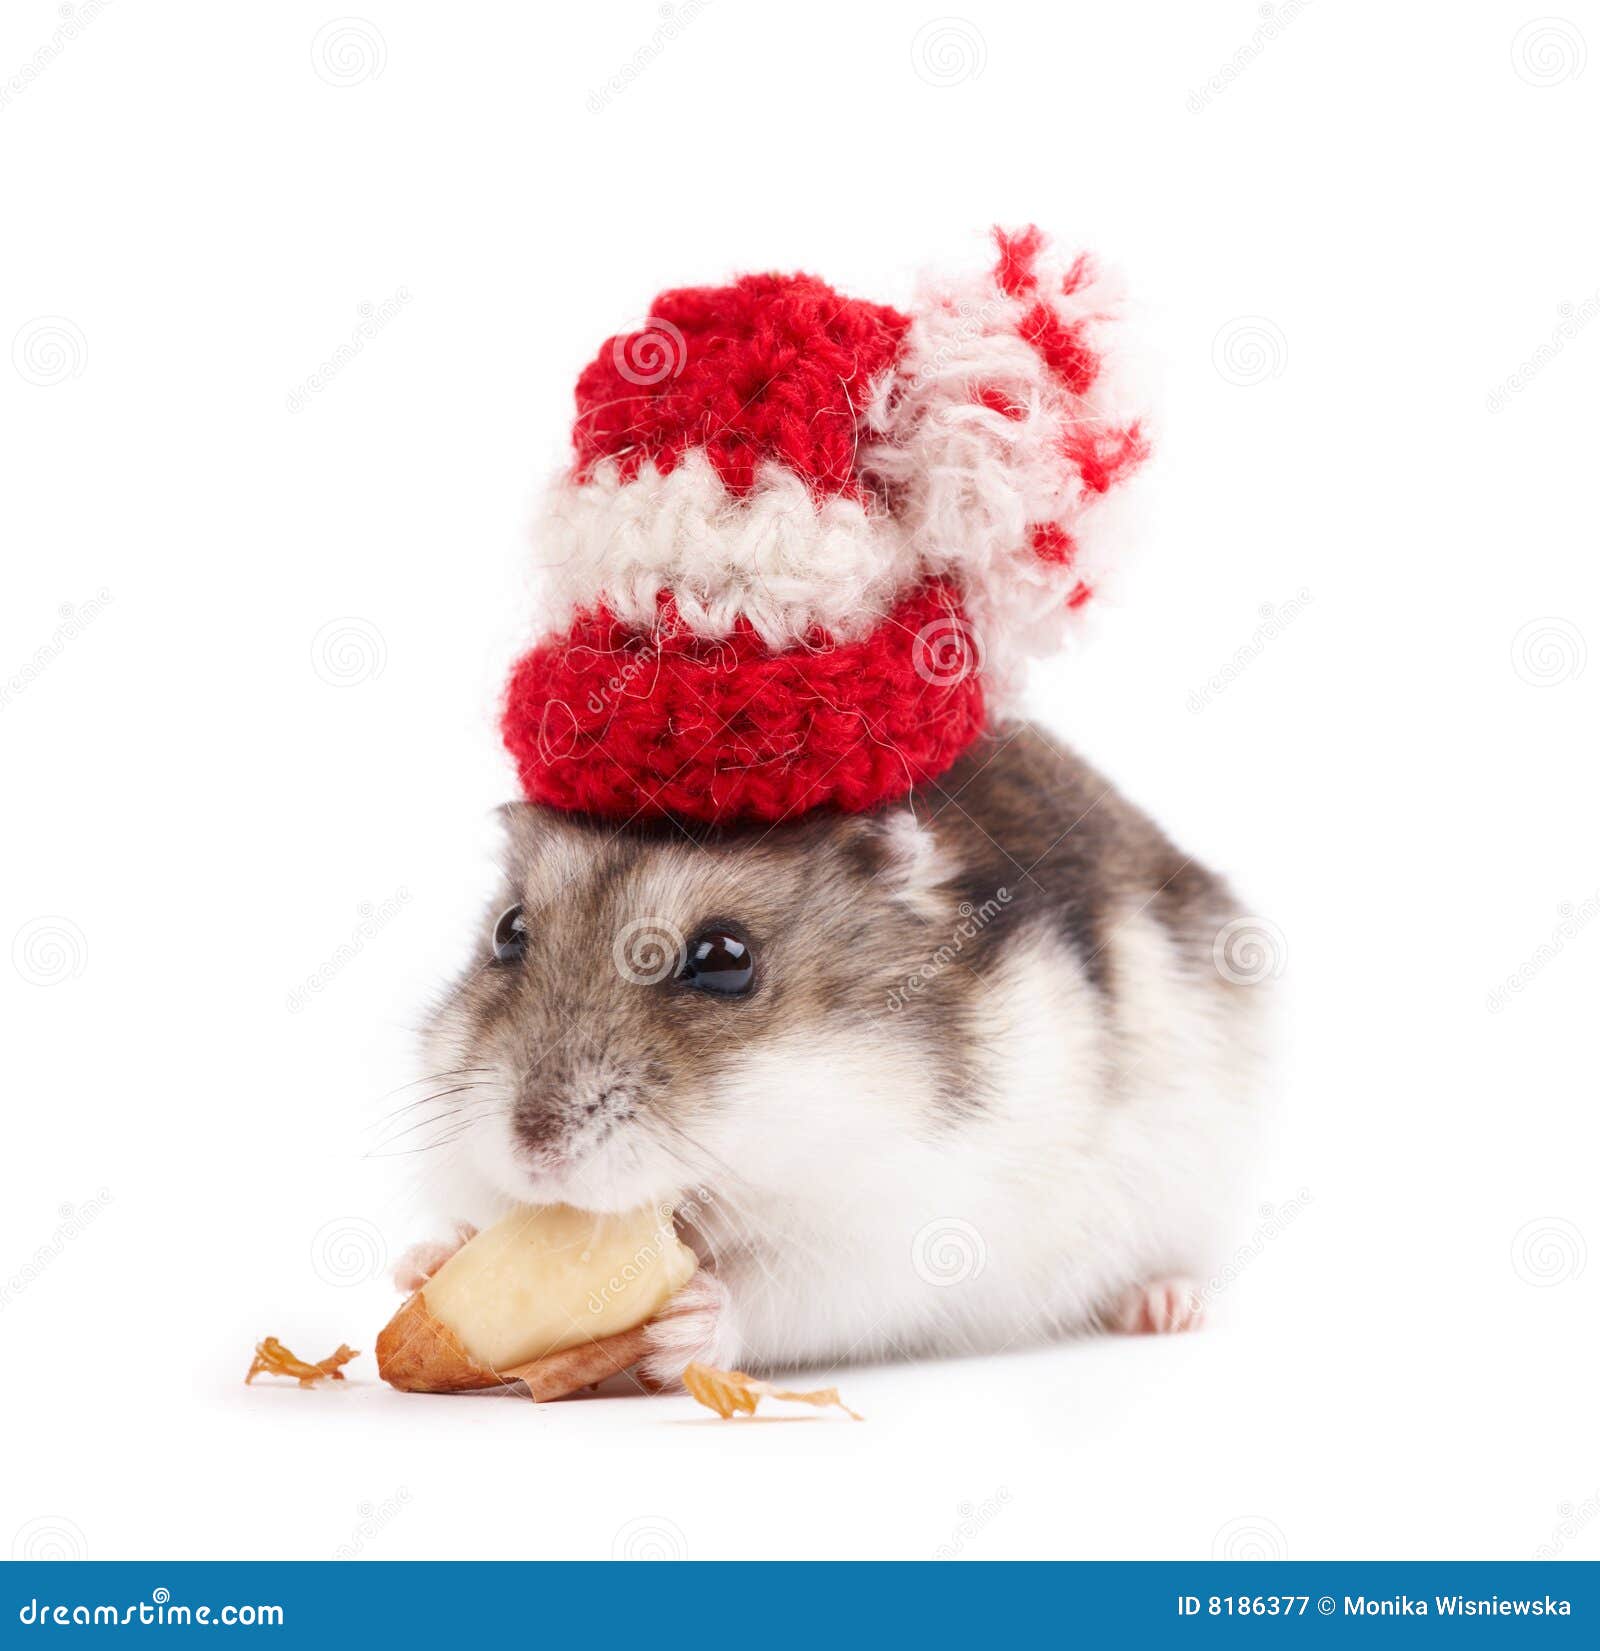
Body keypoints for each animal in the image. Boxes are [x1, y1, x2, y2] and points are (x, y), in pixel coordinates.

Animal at [402, 722, 1272, 1386]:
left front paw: (686, 1324)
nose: (532, 1148)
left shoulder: (903, 1241)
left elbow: (783, 1296)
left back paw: (1164, 1305)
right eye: (508, 930)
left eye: (724, 959)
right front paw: (426, 1259)